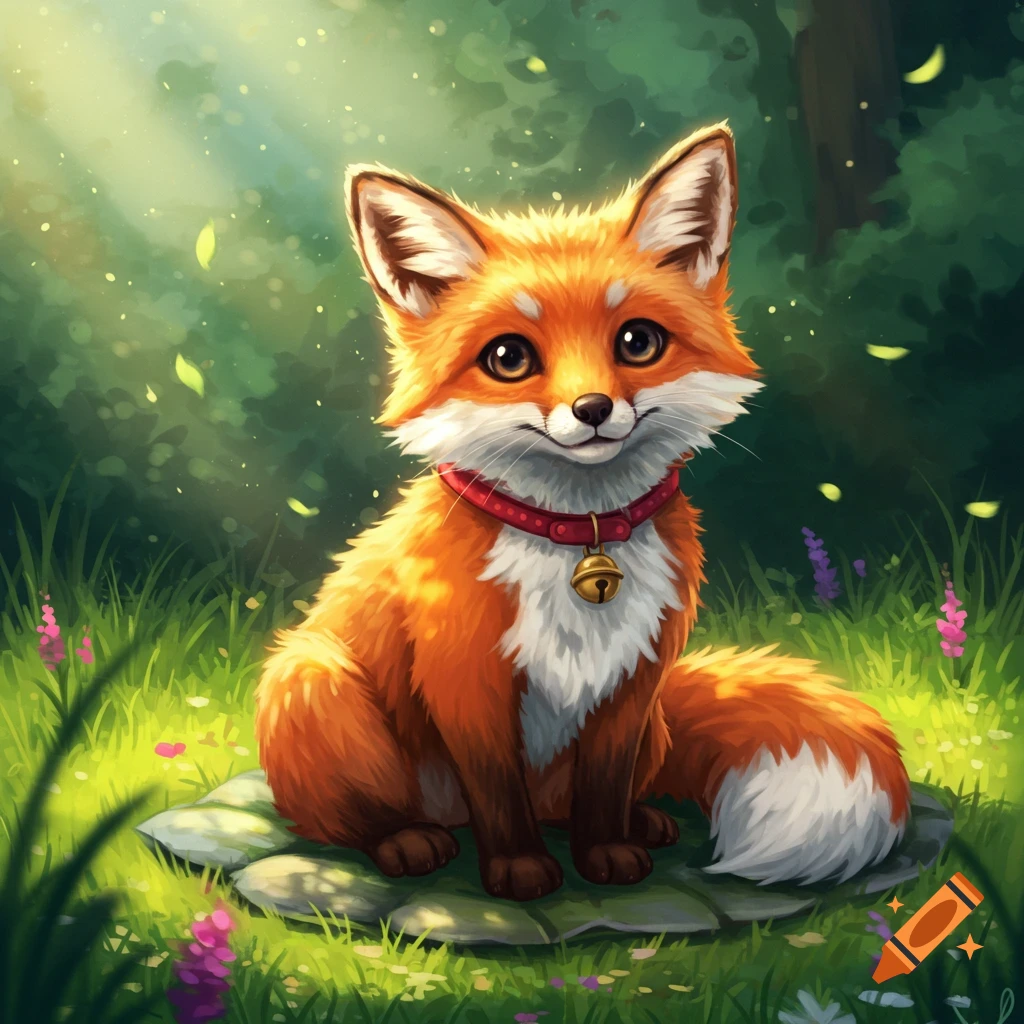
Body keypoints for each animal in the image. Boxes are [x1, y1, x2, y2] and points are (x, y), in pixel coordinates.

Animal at [254, 122, 911, 901]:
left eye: (637, 341)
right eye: (508, 357)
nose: (592, 409)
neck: (578, 537)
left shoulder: (633, 683)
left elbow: (604, 788)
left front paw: (608, 854)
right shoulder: (465, 684)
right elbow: (498, 796)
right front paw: (517, 871)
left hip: (649, 725)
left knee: (592, 798)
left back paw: (641, 825)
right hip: (315, 685)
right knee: (355, 819)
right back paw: (406, 841)